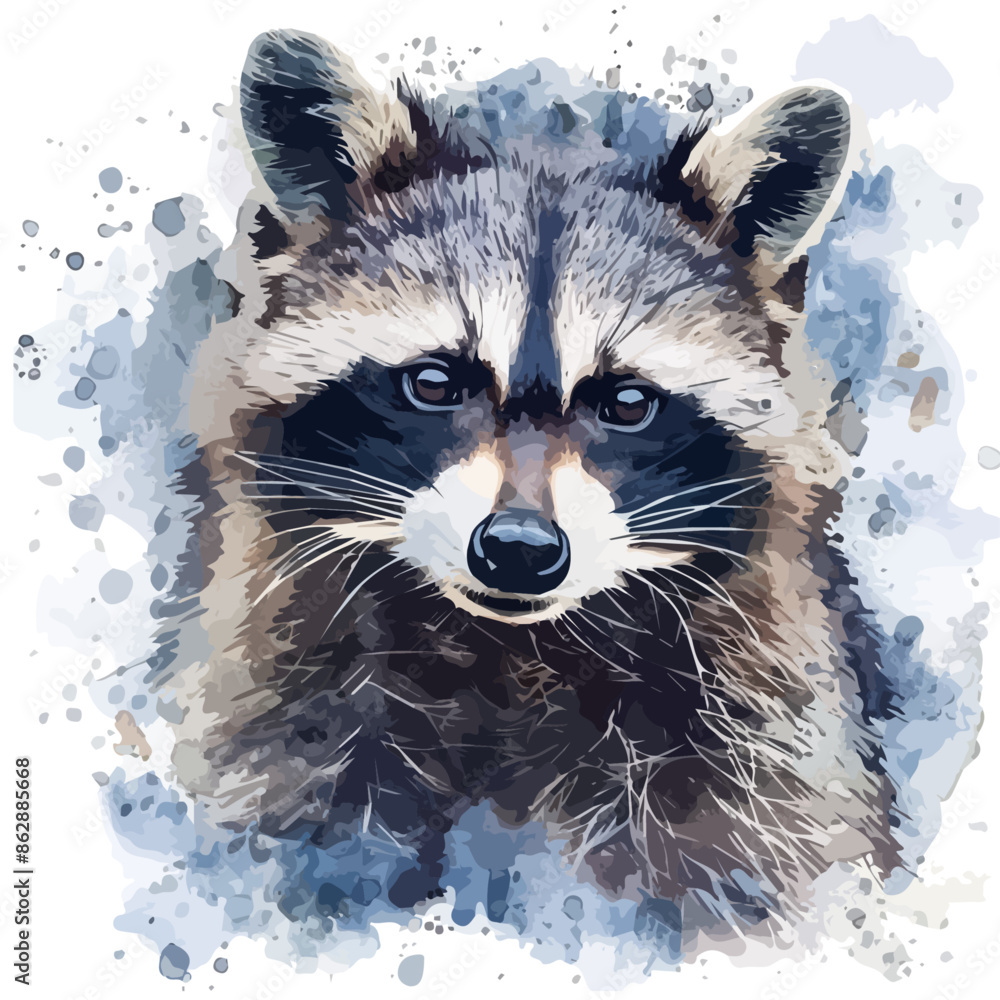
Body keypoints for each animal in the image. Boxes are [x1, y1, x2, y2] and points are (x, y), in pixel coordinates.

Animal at [160, 29, 900, 924]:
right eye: (435, 383)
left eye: (626, 402)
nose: (518, 548)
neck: (513, 650)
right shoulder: (284, 695)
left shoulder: (760, 731)